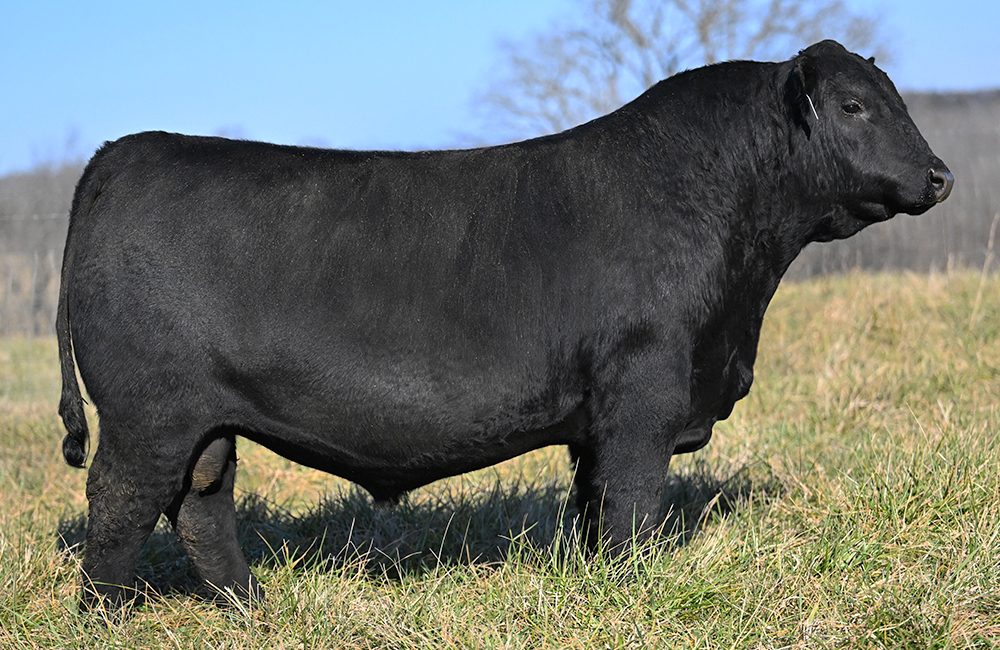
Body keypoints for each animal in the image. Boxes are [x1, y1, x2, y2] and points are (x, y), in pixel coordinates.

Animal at [57, 40, 952, 608]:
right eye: (854, 104)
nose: (941, 175)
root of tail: (125, 150)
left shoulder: (599, 421)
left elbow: (593, 511)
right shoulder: (646, 398)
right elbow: (631, 512)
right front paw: (633, 595)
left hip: (203, 419)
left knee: (201, 505)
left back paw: (257, 610)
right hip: (148, 411)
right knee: (122, 503)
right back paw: (109, 617)